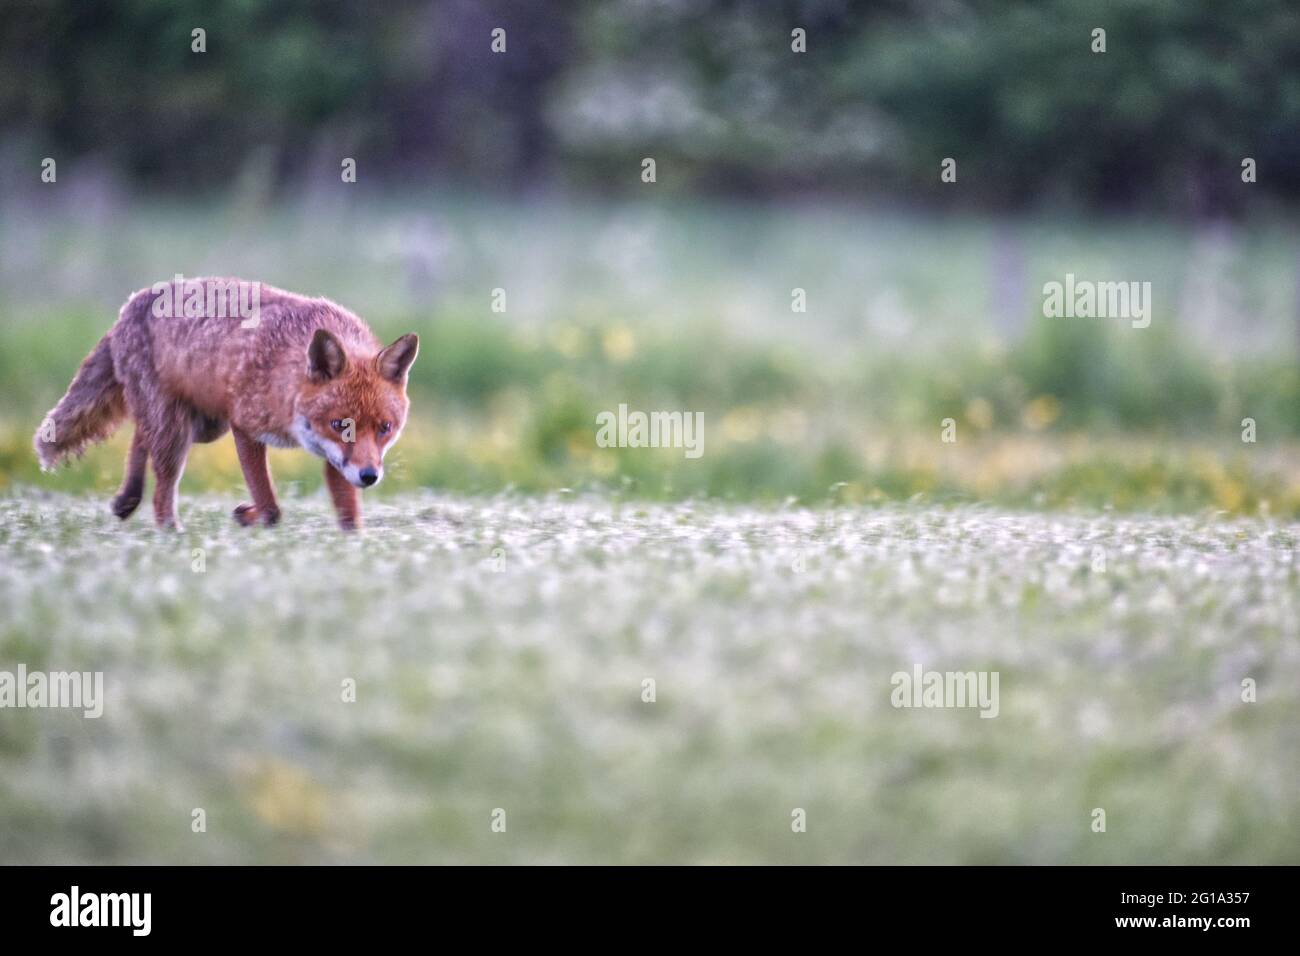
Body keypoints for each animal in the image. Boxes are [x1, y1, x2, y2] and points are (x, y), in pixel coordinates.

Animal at [34, 278, 418, 532]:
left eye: (384, 428)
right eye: (341, 425)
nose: (369, 476)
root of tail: (131, 303)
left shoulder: (334, 459)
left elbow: (348, 515)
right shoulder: (245, 426)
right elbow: (270, 507)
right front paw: (252, 516)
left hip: (201, 427)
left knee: (140, 436)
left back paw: (127, 499)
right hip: (179, 434)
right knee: (161, 491)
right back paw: (169, 533)